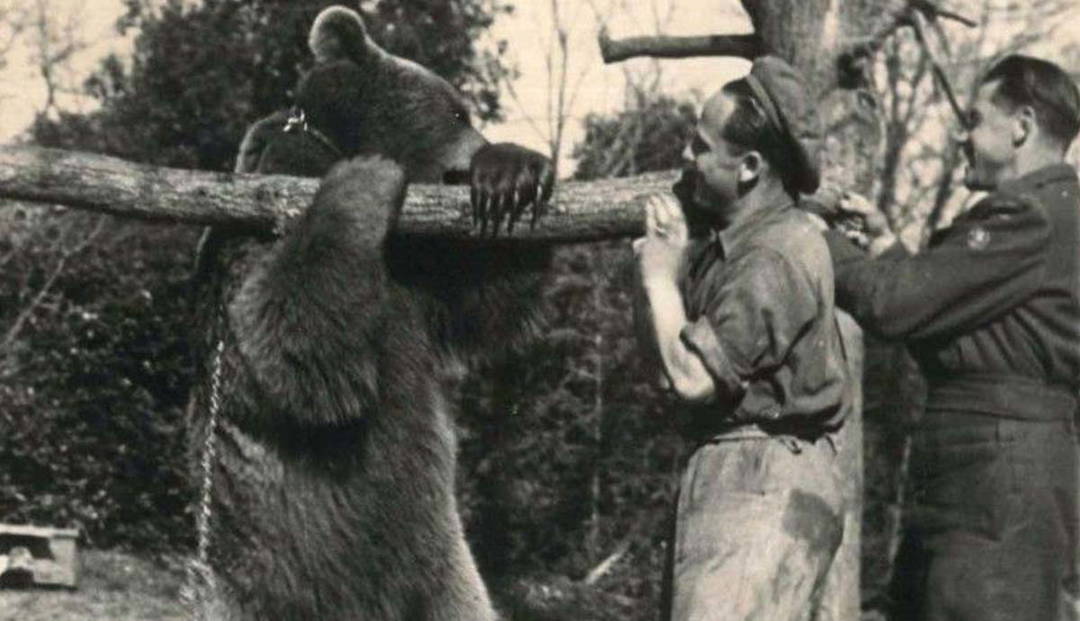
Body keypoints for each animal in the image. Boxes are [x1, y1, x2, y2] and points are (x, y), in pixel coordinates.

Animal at [186, 6, 554, 620]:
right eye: (456, 109)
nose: (469, 156)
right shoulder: (262, 213)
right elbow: (286, 336)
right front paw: (366, 179)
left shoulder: (418, 285)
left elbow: (486, 302)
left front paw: (510, 171)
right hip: (272, 580)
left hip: (447, 574)